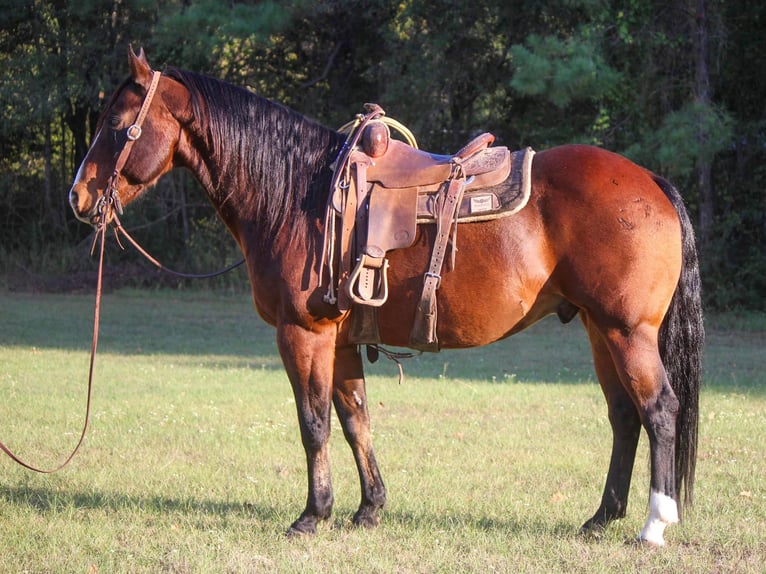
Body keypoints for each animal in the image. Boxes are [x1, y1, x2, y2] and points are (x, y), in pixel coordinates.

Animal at [68, 47, 703, 546]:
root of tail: (652, 181)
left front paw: (311, 515)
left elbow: (314, 422)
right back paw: (600, 519)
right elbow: (355, 419)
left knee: (658, 410)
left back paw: (652, 525)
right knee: (624, 416)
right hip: (600, 330)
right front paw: (368, 508)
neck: (298, 195)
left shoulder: (303, 334)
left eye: (118, 123)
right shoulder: (343, 340)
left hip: (627, 332)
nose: (78, 196)